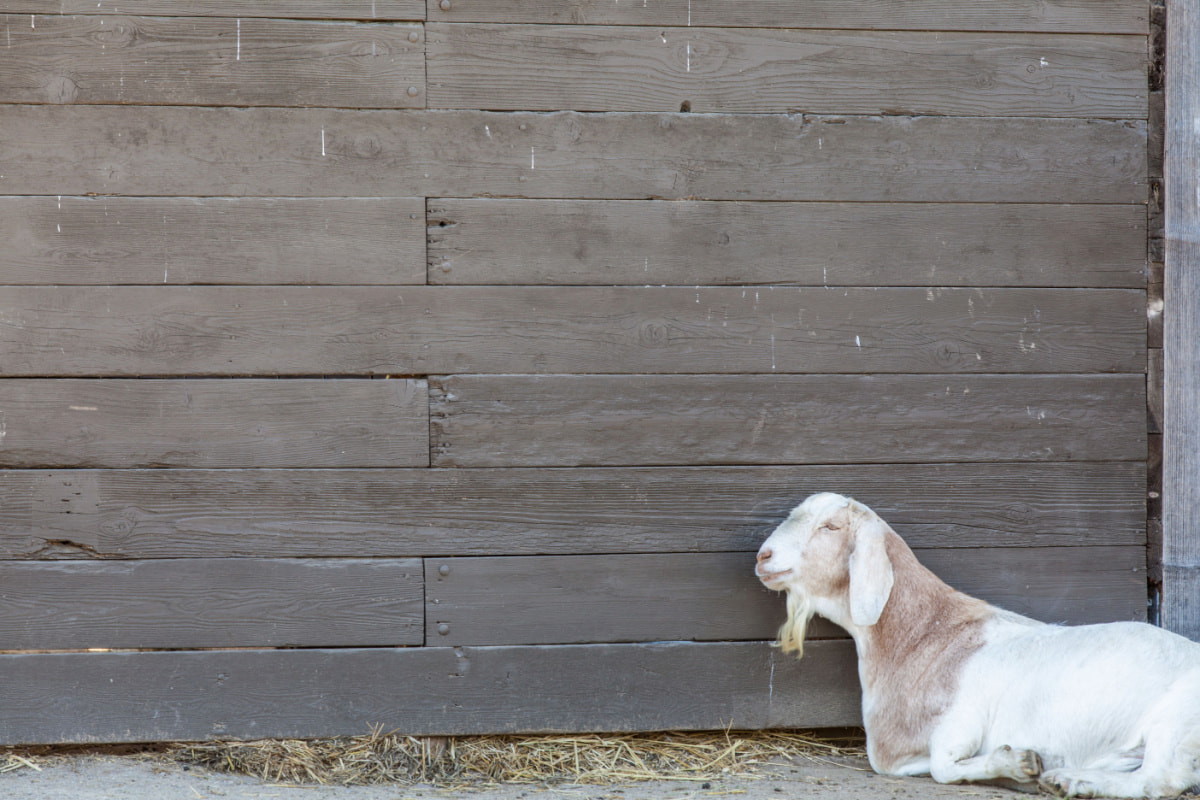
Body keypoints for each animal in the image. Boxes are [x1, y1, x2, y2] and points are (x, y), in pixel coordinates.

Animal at [755, 492, 1200, 798]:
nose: (764, 556)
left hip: (1175, 719)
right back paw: (1069, 779)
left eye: (830, 528)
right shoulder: (897, 759)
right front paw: (1020, 771)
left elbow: (942, 765)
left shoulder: (963, 719)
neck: (924, 634)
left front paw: (1019, 762)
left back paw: (1070, 780)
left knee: (1159, 780)